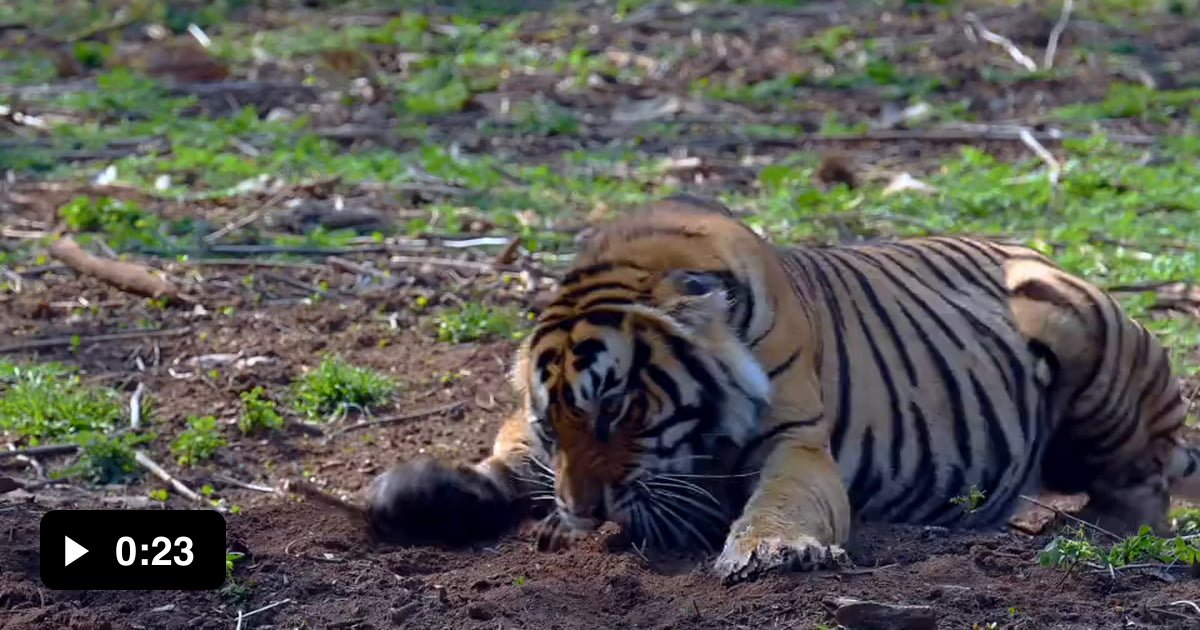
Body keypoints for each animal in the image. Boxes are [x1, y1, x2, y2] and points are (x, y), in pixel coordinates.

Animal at [363, 194, 1200, 584]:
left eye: (617, 409)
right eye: (552, 423)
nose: (584, 511)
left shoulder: (796, 442)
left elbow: (784, 498)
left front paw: (772, 551)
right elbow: (503, 458)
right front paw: (421, 491)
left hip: (1083, 333)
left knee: (1146, 487)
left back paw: (1089, 532)